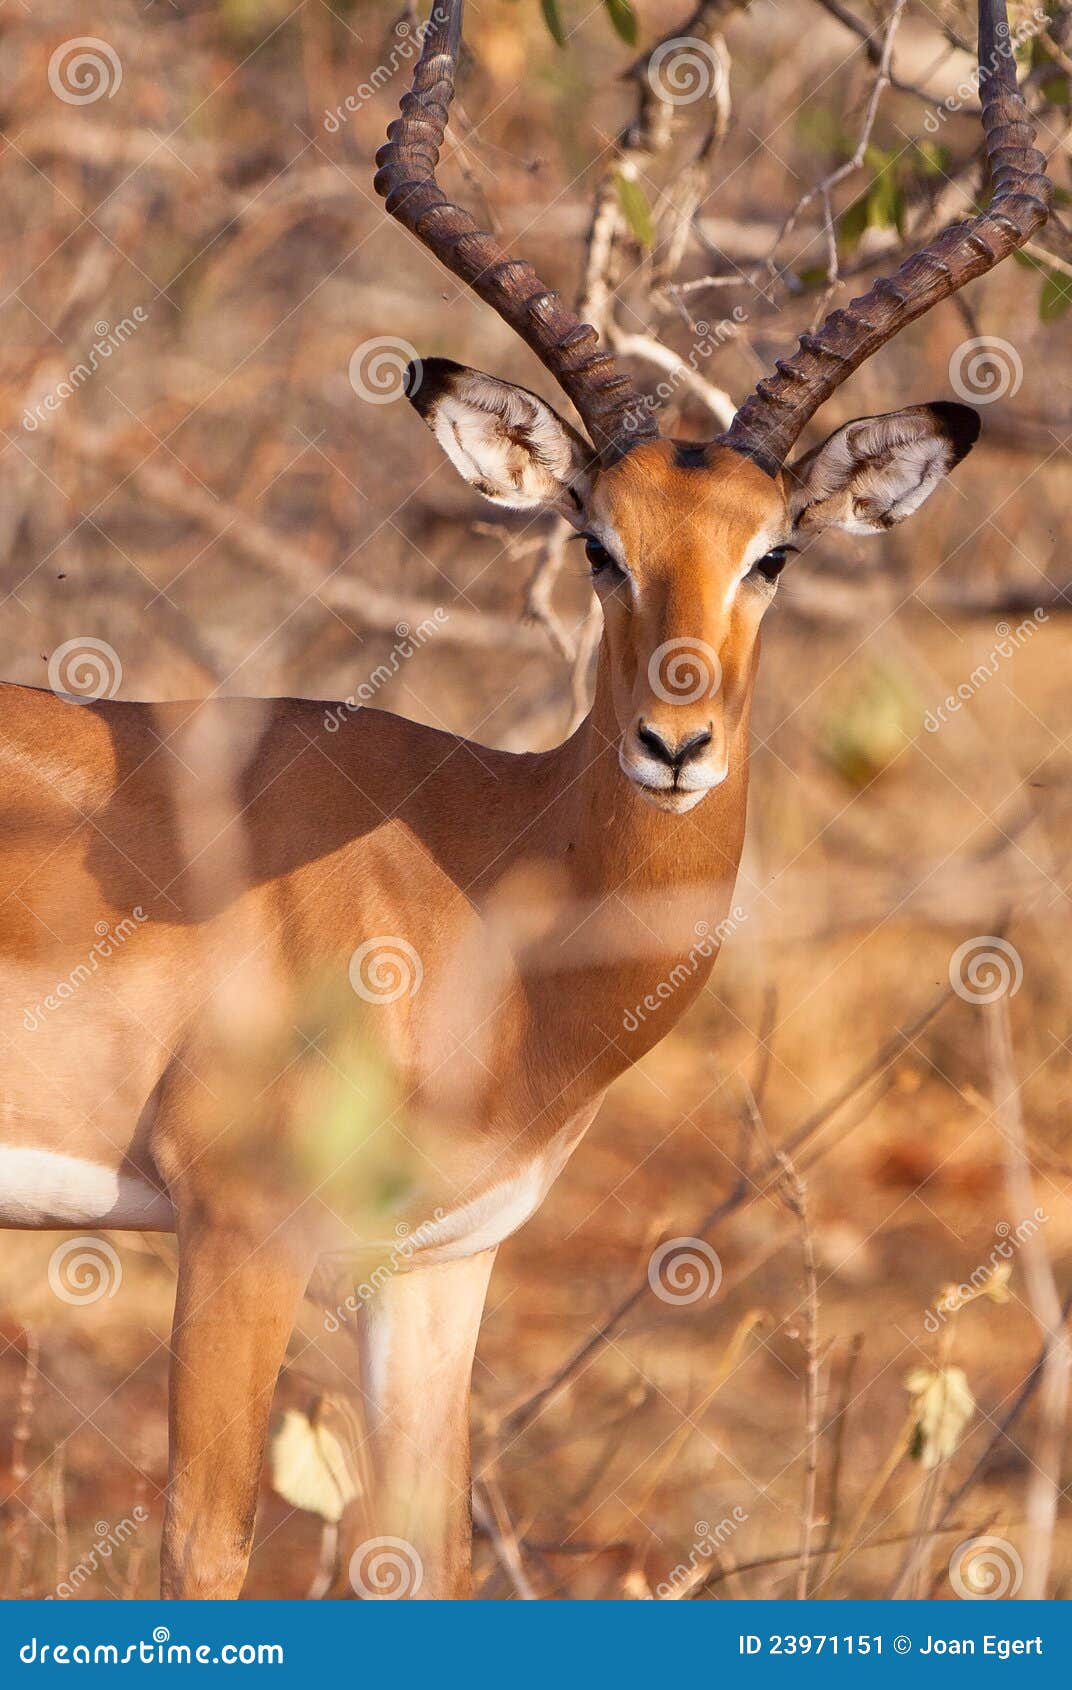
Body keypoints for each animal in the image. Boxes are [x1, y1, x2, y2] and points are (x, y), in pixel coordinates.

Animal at [0, 0, 1049, 1600]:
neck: (476, 872)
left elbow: (416, 1554)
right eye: (598, 544)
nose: (674, 742)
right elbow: (204, 1555)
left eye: (774, 555)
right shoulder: (239, 1231)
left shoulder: (441, 1261)